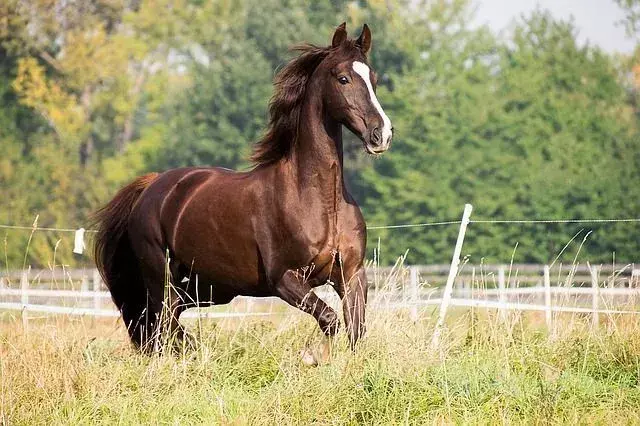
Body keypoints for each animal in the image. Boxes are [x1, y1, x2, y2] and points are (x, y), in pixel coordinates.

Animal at [94, 21, 396, 352]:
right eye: (343, 78)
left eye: (374, 79)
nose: (381, 134)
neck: (318, 201)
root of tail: (152, 186)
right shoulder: (284, 279)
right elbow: (330, 320)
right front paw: (314, 357)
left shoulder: (352, 275)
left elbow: (356, 331)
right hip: (162, 280)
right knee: (165, 326)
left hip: (203, 288)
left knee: (163, 326)